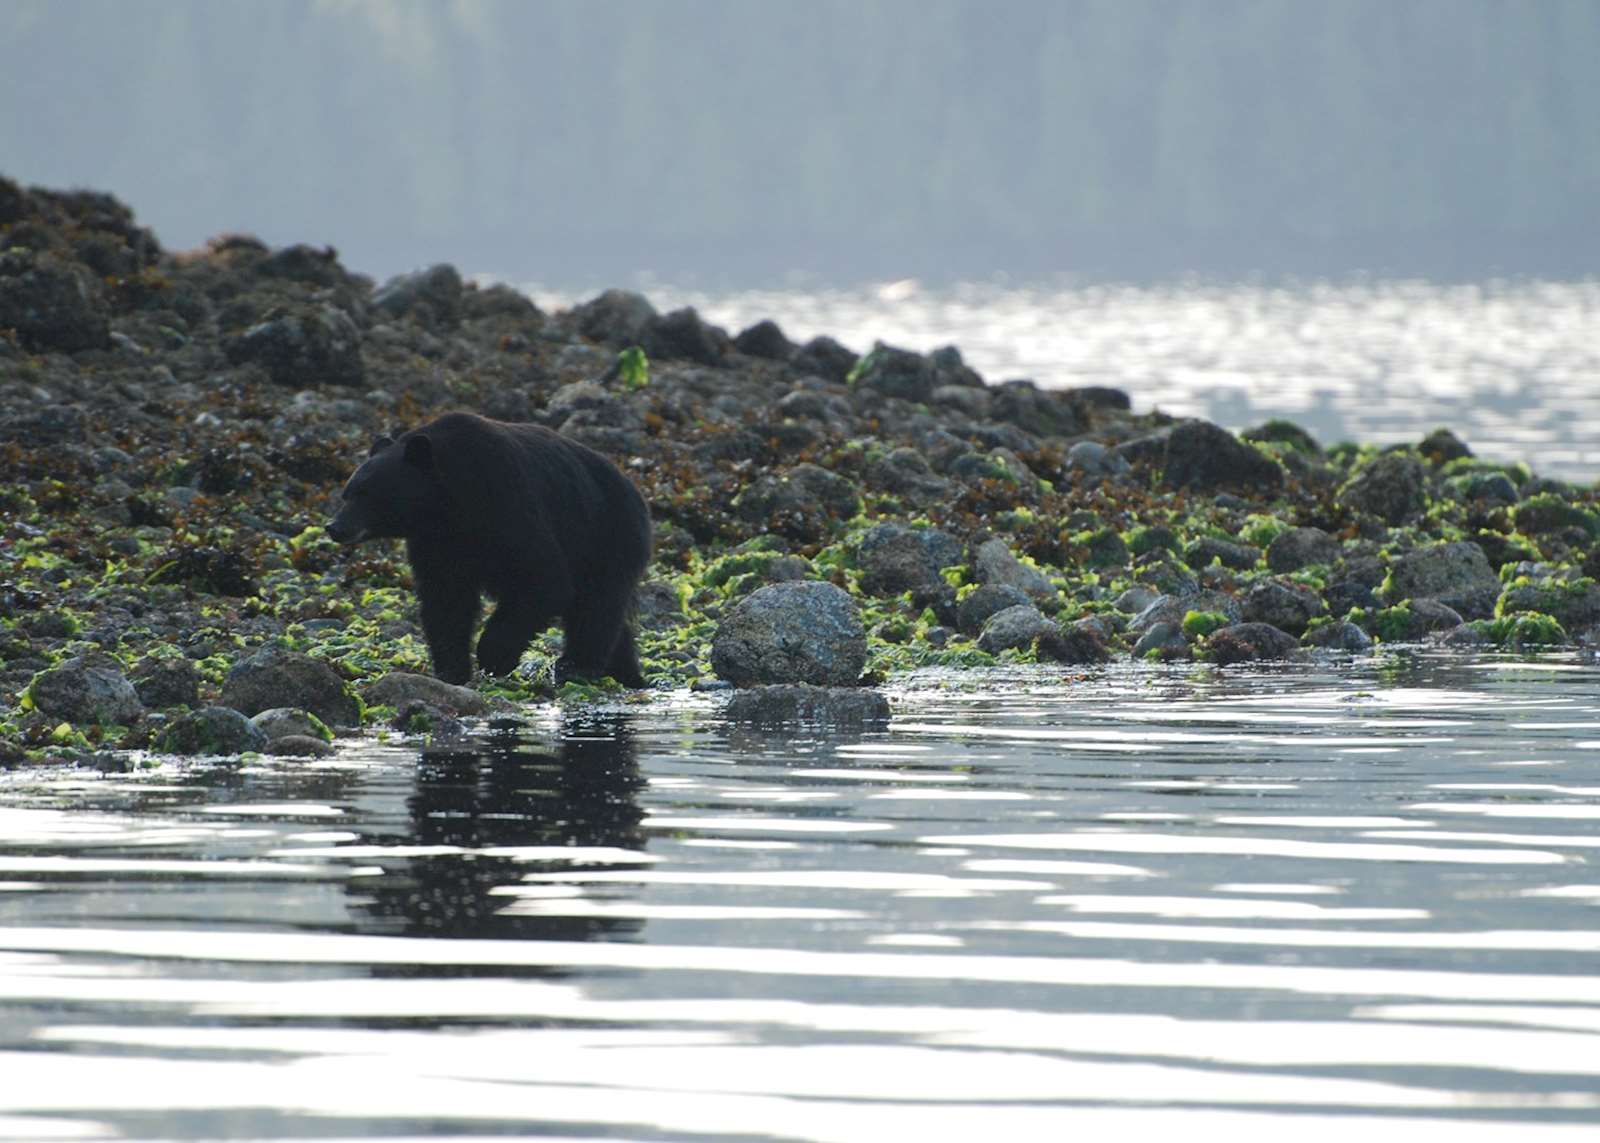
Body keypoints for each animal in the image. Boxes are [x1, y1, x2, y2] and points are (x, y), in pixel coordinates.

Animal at [325, 411, 651, 688]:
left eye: (367, 494)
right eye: (347, 492)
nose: (334, 526)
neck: (449, 506)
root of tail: (635, 492)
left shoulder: (507, 504)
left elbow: (544, 580)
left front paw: (494, 658)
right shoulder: (435, 543)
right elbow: (446, 600)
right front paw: (452, 671)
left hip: (604, 535)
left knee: (597, 605)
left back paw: (577, 666)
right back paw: (624, 671)